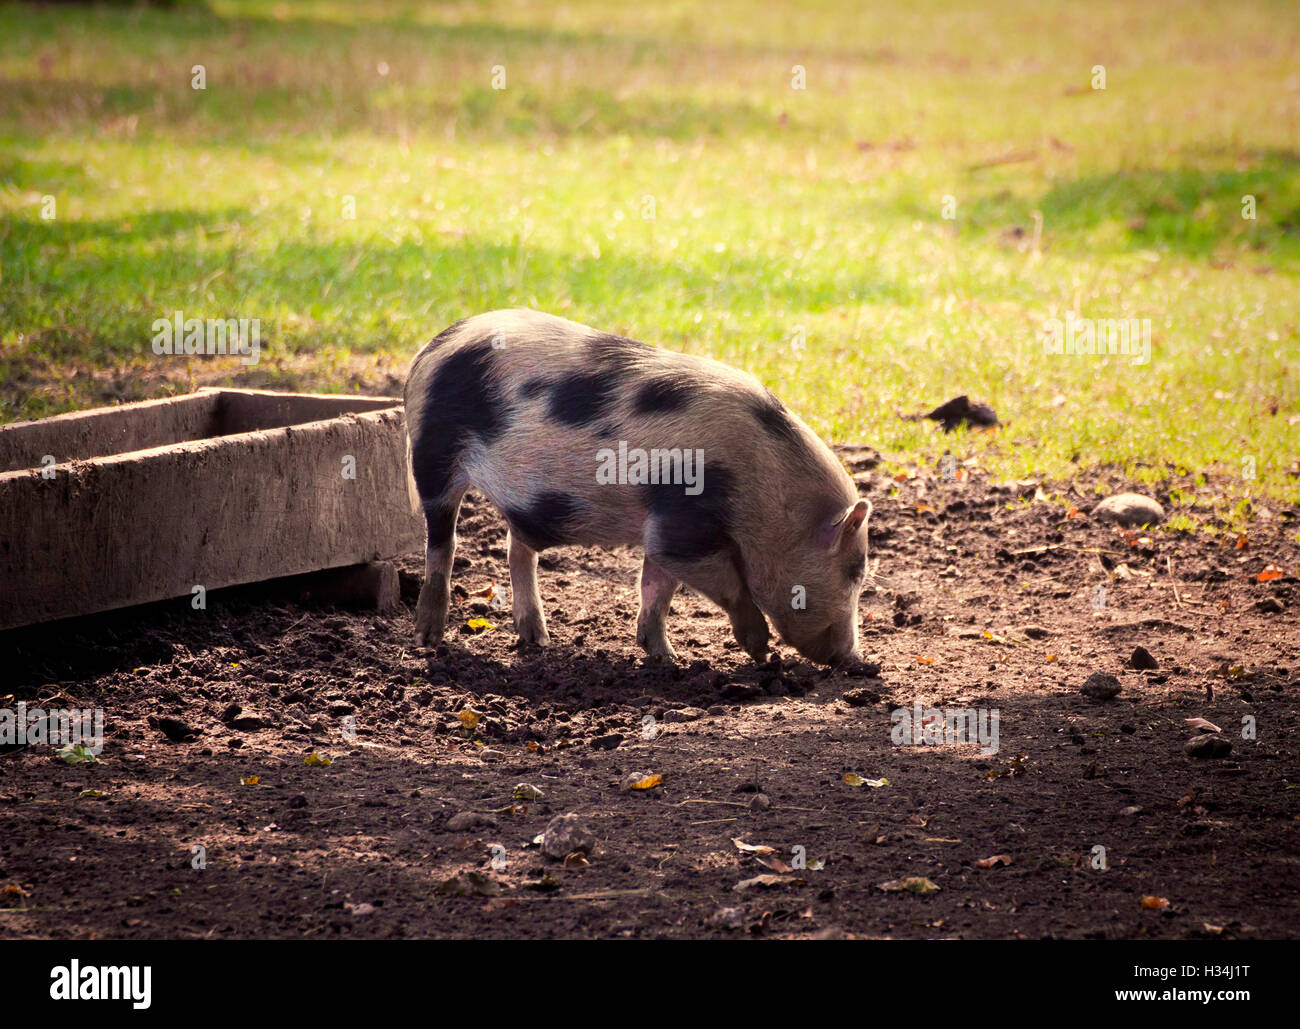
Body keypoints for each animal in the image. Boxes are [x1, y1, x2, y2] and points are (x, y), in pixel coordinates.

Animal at [404, 309, 871, 666]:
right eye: (856, 568)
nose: (856, 659)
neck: (766, 492)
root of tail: (432, 347)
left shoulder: (663, 528)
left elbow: (657, 587)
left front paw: (667, 658)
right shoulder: (683, 523)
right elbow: (723, 584)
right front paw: (763, 653)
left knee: (517, 548)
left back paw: (537, 640)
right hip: (432, 453)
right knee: (442, 541)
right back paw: (429, 638)